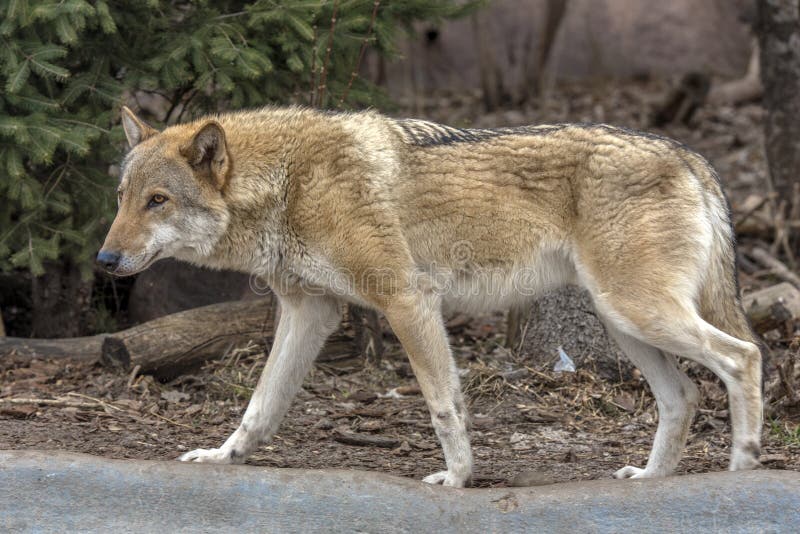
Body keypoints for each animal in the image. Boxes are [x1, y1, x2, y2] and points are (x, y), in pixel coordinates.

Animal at [98, 105, 762, 487]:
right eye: (124, 198)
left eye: (158, 201)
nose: (104, 261)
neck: (288, 183)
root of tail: (692, 156)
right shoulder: (310, 312)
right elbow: (261, 406)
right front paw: (223, 457)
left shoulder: (407, 300)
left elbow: (444, 406)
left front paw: (457, 477)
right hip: (625, 322)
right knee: (684, 396)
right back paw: (652, 480)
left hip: (637, 312)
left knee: (744, 358)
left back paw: (742, 470)